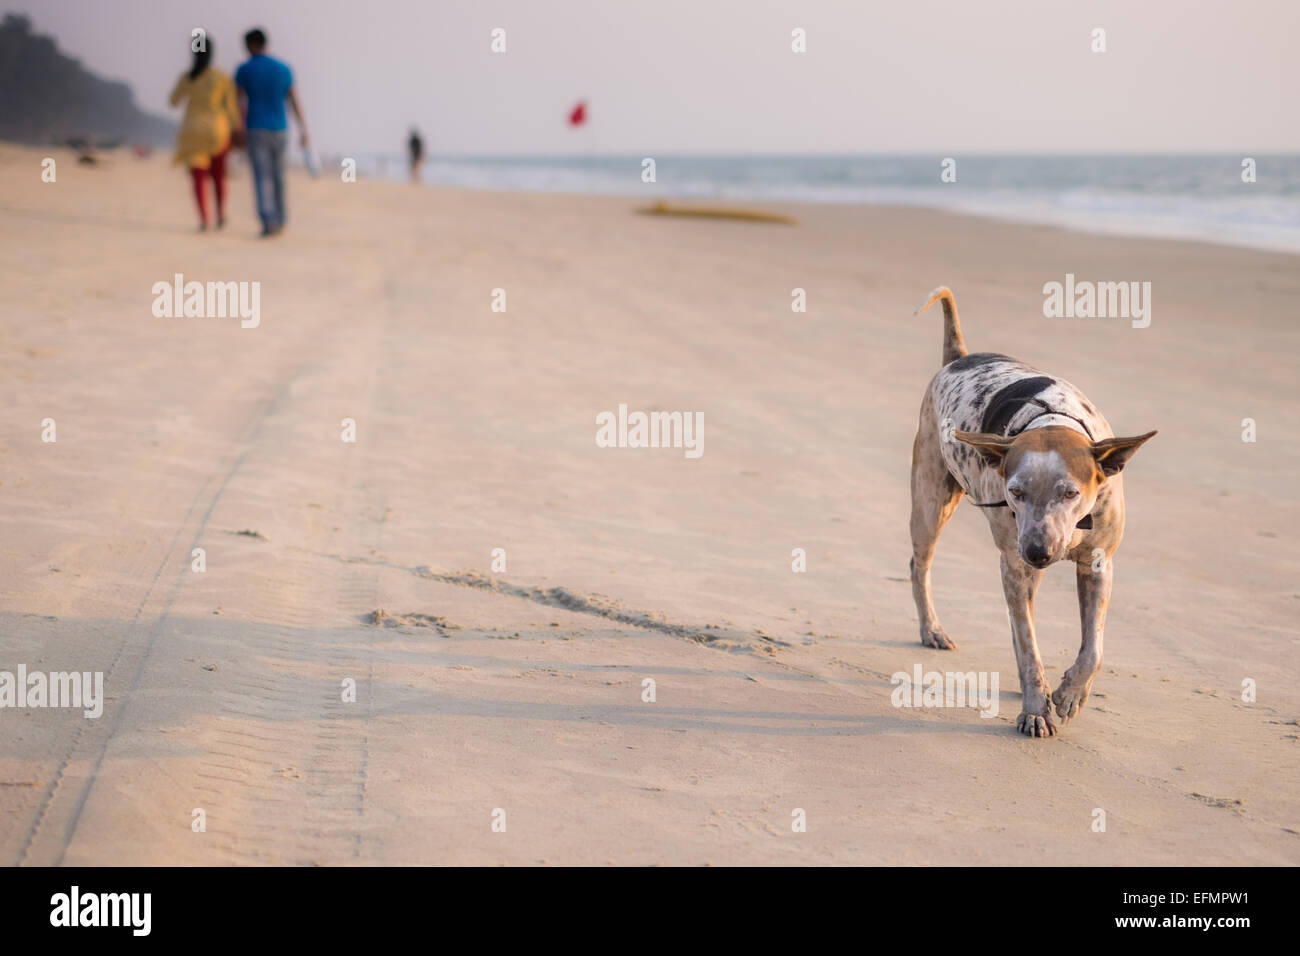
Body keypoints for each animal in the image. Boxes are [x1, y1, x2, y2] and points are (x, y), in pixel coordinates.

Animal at [904, 287, 1159, 738]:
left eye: (1070, 492)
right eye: (1015, 492)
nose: (1039, 550)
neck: (1051, 420)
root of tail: (958, 356)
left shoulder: (1098, 563)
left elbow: (1093, 650)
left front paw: (1070, 694)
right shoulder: (1014, 566)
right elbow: (1026, 645)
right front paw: (1036, 709)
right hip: (931, 500)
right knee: (920, 565)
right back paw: (932, 630)